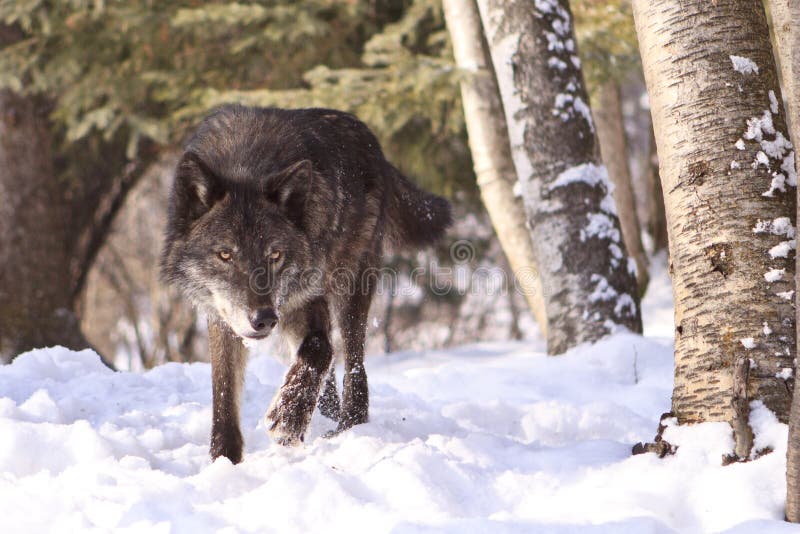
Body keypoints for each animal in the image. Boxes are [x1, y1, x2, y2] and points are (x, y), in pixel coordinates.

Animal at [161, 105, 452, 463]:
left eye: (275, 254)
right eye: (225, 254)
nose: (263, 319)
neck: (245, 165)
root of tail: (375, 146)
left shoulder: (306, 297)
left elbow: (320, 349)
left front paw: (289, 417)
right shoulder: (222, 317)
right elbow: (224, 393)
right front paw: (224, 461)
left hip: (349, 287)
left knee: (353, 364)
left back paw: (348, 426)